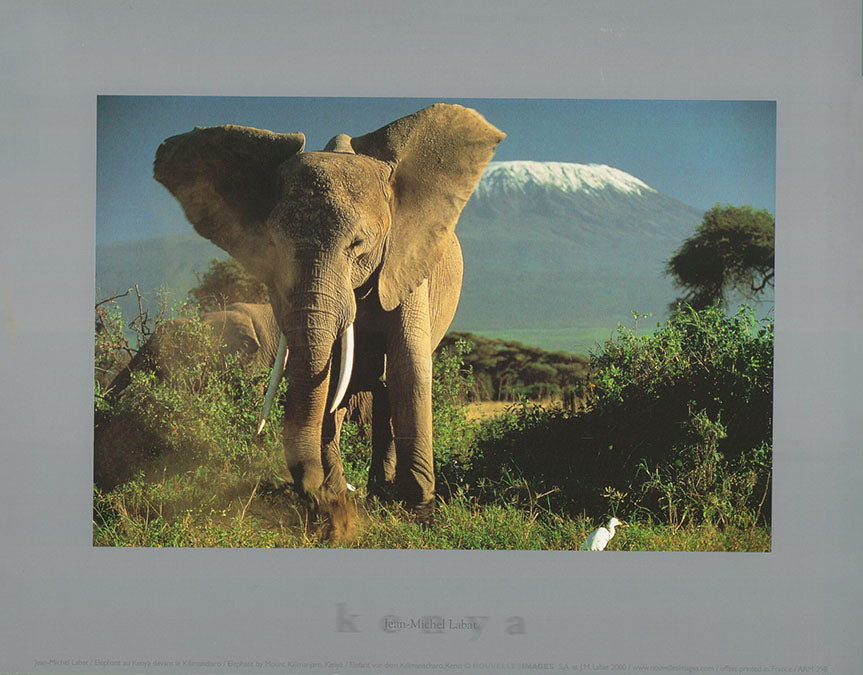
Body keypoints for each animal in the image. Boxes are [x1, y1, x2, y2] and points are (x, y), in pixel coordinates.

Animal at [153, 103, 504, 532]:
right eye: (273, 245)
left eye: (358, 244)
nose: (315, 494)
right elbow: (331, 370)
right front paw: (334, 498)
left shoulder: (406, 259)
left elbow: (406, 364)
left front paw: (419, 512)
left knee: (382, 384)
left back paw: (382, 493)